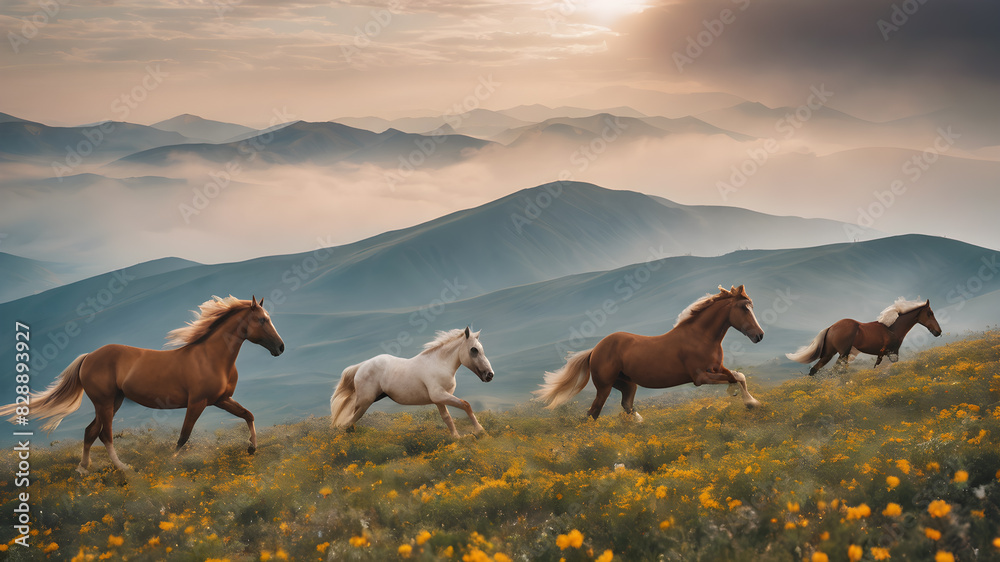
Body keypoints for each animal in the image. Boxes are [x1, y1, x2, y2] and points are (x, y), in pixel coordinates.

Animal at [0, 296, 284, 473]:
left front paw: (251, 448)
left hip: (113, 401)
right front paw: (169, 463)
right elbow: (184, 436)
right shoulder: (198, 403)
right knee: (104, 434)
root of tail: (89, 356)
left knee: (90, 432)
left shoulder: (220, 400)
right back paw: (123, 468)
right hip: (105, 402)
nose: (280, 347)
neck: (211, 357)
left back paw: (83, 470)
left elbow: (248, 415)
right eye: (262, 320)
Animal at [331, 327, 494, 437]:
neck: (439, 364)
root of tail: (361, 366)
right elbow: (466, 404)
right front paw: (480, 430)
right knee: (349, 422)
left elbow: (447, 418)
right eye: (474, 350)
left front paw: (456, 438)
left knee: (349, 422)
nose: (490, 375)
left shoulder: (439, 400)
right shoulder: (440, 395)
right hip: (364, 402)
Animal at [535, 285, 764, 420]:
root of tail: (595, 350)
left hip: (627, 384)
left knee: (627, 405)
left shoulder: (717, 368)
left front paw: (751, 402)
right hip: (604, 387)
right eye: (744, 308)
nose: (759, 335)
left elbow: (738, 376)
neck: (701, 336)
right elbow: (735, 377)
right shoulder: (701, 377)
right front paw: (746, 400)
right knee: (593, 412)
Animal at [786, 297, 941, 375]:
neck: (892, 328)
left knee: (816, 370)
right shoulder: (891, 353)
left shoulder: (886, 354)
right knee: (835, 371)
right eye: (929, 313)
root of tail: (831, 327)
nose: (938, 332)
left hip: (831, 353)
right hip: (843, 353)